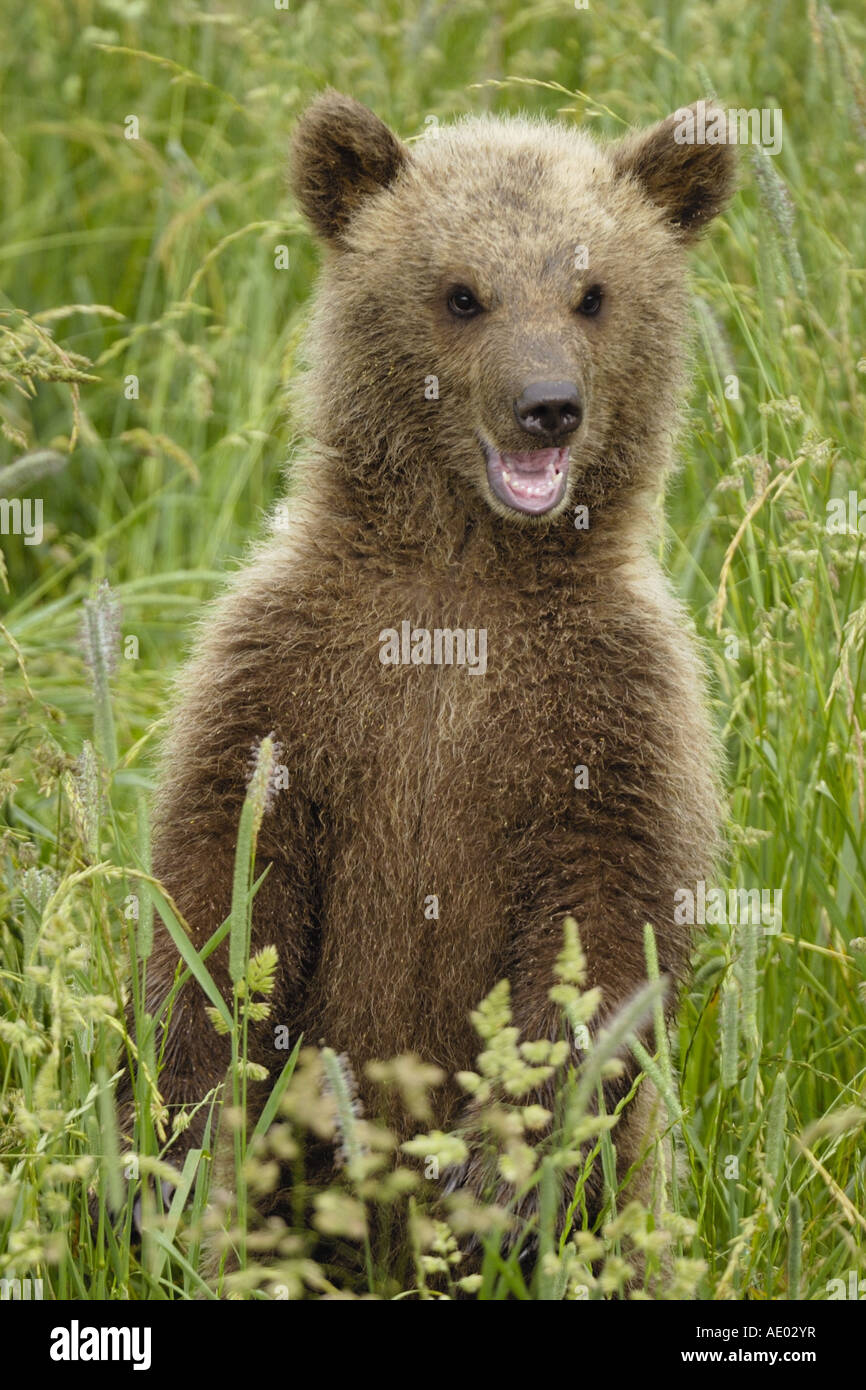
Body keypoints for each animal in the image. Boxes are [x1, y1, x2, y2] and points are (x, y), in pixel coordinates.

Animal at [120, 91, 735, 1272]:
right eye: (460, 292)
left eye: (591, 292)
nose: (547, 404)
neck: (462, 581)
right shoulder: (290, 673)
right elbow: (225, 886)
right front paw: (182, 1146)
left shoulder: (617, 705)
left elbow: (602, 937)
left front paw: (492, 1176)